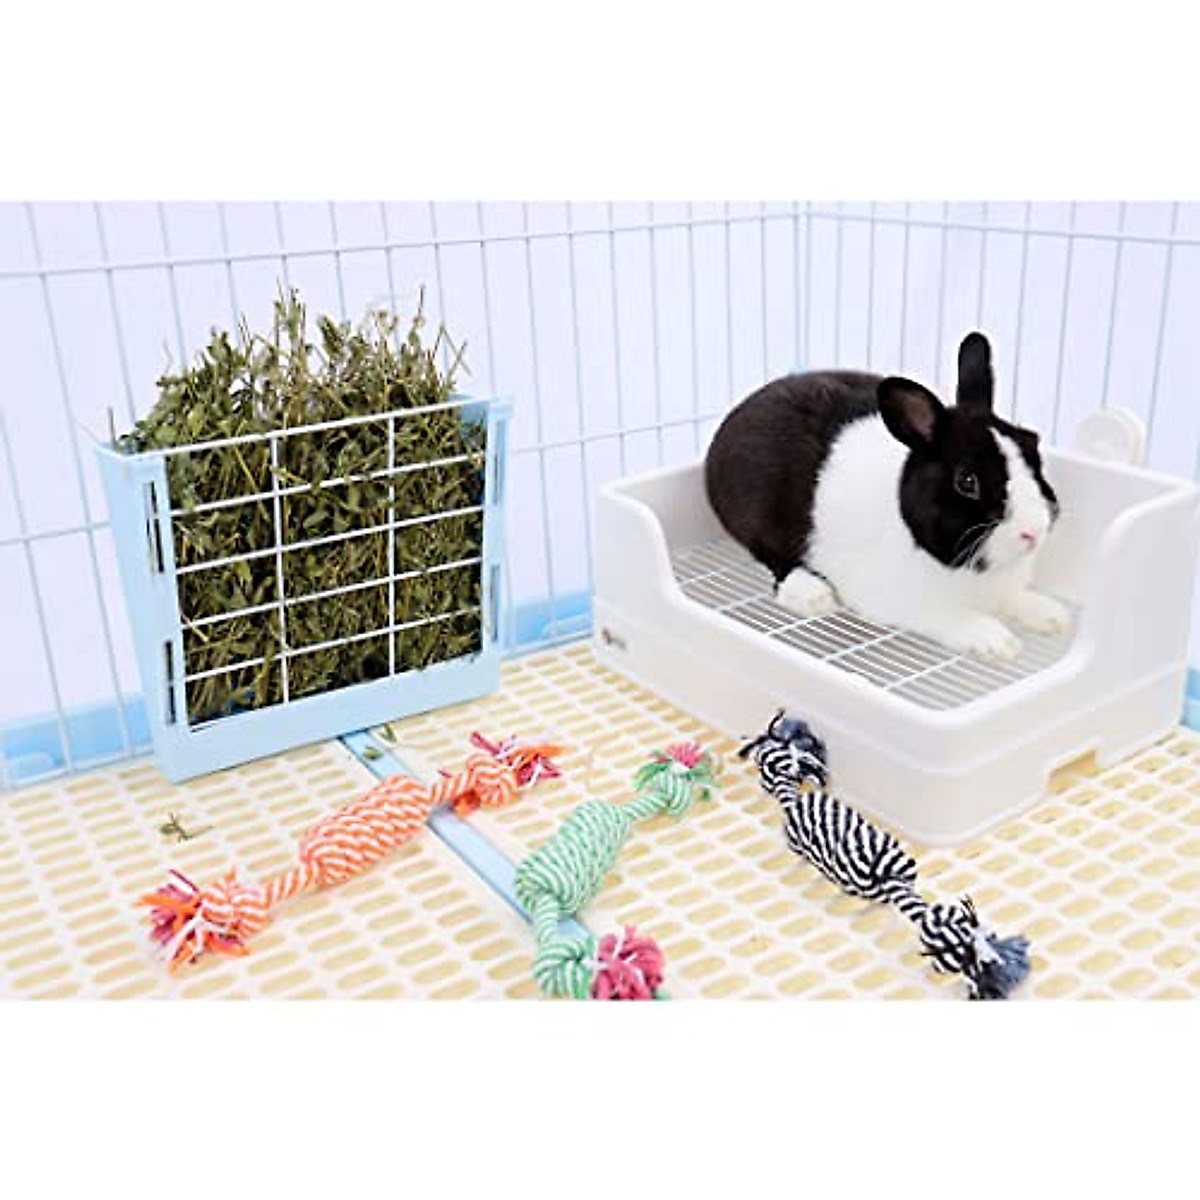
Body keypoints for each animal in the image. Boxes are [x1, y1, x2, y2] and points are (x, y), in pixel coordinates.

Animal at [703, 332, 1068, 662]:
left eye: (1033, 445)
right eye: (967, 482)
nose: (1033, 531)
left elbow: (1014, 598)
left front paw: (1052, 616)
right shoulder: (897, 599)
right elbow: (948, 617)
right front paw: (996, 642)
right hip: (758, 519)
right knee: (774, 557)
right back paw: (812, 595)